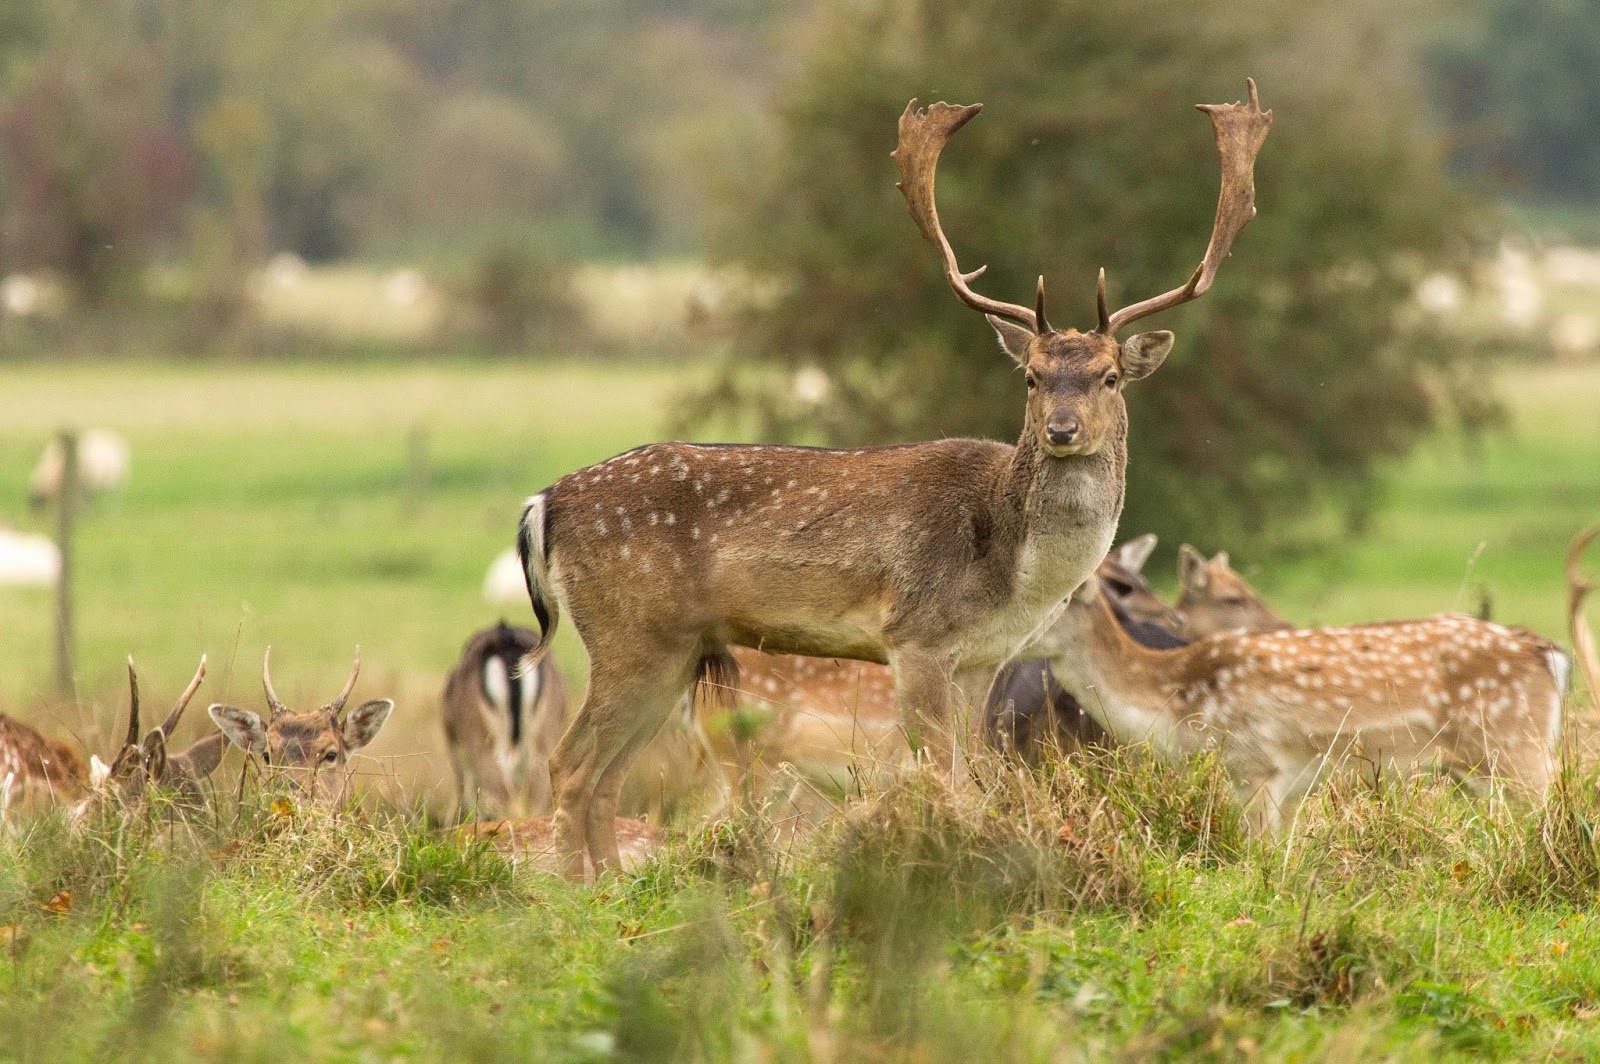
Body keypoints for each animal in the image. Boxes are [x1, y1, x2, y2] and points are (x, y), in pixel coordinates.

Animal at [519, 83, 1272, 874]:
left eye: (1109, 377)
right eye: (1032, 377)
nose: (1062, 430)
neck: (1011, 571)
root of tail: (546, 503)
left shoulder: (979, 659)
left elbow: (967, 775)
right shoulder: (915, 636)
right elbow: (938, 774)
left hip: (673, 650)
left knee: (606, 774)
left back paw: (607, 886)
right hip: (632, 631)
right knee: (572, 764)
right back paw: (571, 889)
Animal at [1034, 574, 1569, 831]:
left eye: (1050, 599)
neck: (1175, 703)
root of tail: (1548, 653)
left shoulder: (1252, 765)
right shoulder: (1290, 786)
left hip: (1517, 750)